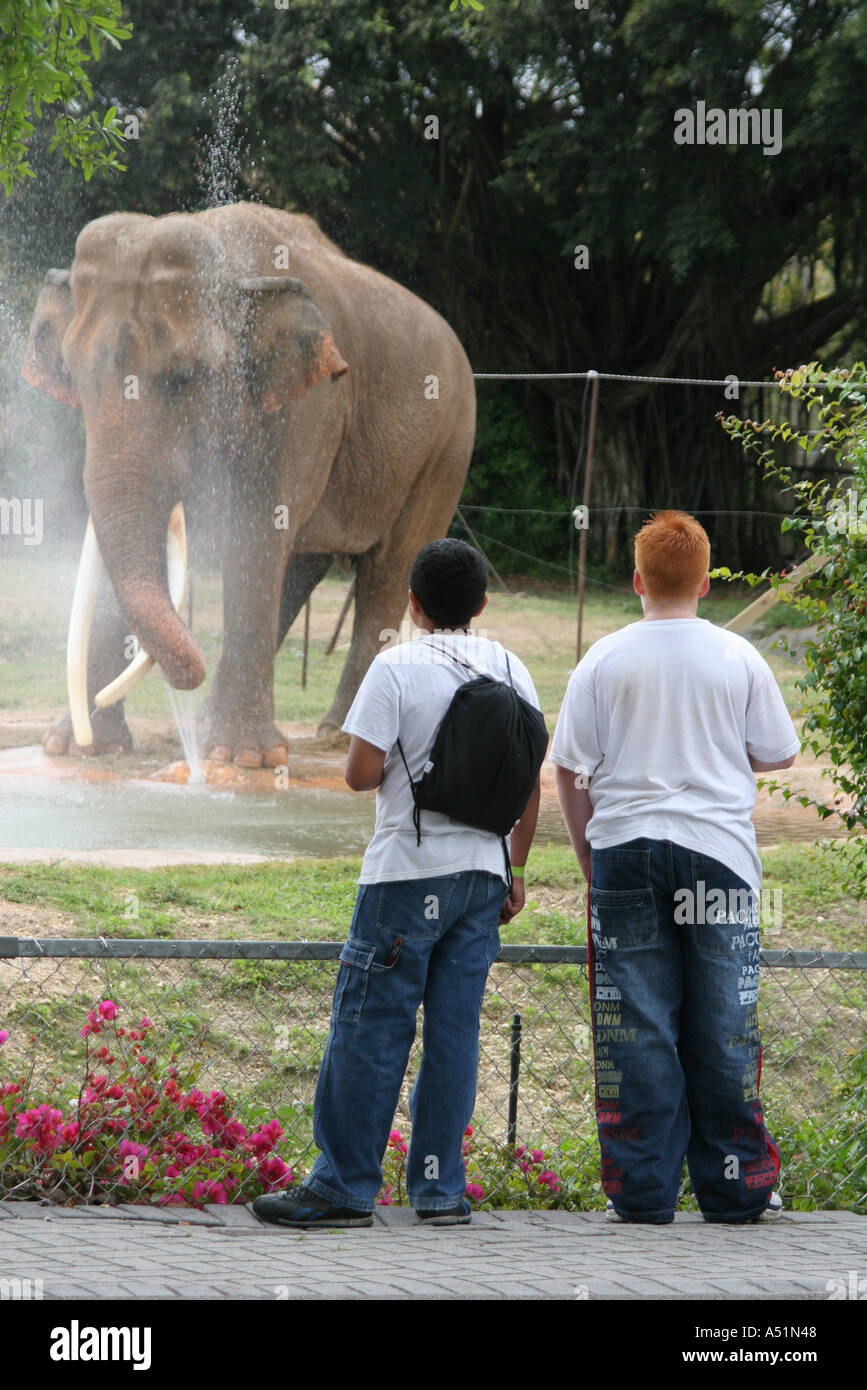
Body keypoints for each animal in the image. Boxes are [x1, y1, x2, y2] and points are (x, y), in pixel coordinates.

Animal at [21, 202, 476, 767]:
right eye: (76, 375)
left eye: (185, 378)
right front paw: (73, 747)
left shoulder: (306, 407)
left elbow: (255, 532)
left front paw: (243, 759)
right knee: (303, 565)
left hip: (446, 448)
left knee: (389, 569)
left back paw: (337, 735)